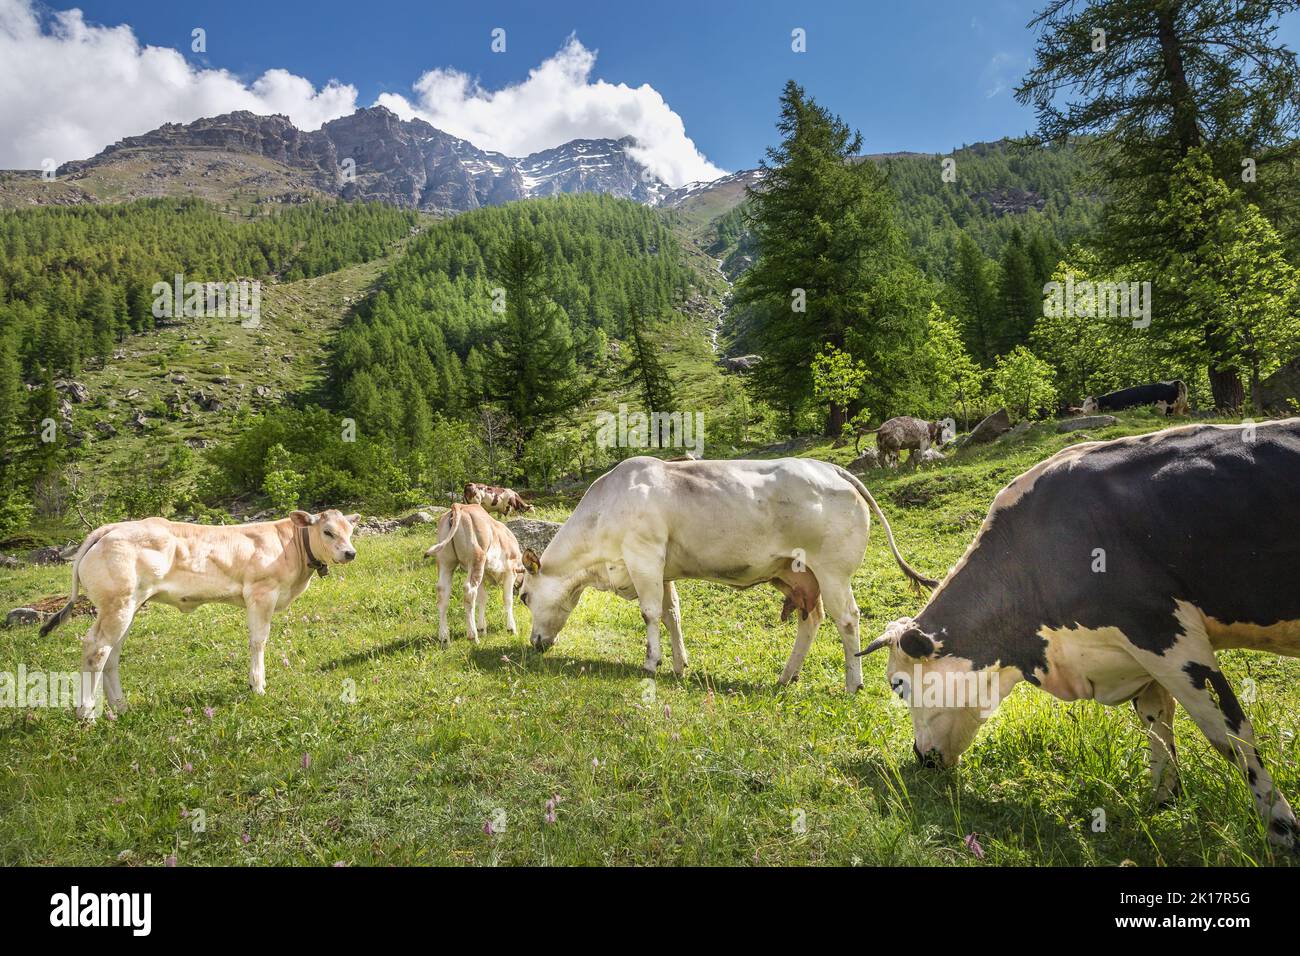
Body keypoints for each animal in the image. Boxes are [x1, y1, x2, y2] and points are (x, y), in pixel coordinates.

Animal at [39, 510, 360, 720]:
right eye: (328, 531)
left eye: (350, 531)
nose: (350, 553)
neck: (290, 547)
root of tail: (109, 529)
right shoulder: (261, 594)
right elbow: (258, 641)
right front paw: (257, 686)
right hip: (116, 603)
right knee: (96, 650)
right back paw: (87, 714)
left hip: (127, 606)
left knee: (112, 654)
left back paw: (120, 707)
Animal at [423, 503, 524, 645]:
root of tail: (459, 505)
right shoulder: (510, 570)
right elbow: (507, 599)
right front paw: (511, 628)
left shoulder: (483, 575)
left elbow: (482, 599)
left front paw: (482, 628)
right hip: (476, 559)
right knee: (469, 591)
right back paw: (472, 636)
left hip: (445, 562)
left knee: (443, 593)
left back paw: (444, 637)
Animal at [518, 456, 936, 692]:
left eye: (523, 595)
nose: (535, 641)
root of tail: (831, 468)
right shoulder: (662, 569)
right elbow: (671, 614)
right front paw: (679, 665)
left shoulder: (644, 557)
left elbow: (650, 613)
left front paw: (652, 664)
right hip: (803, 576)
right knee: (812, 619)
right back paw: (786, 676)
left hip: (833, 572)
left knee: (847, 619)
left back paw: (853, 683)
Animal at [860, 420, 1300, 849]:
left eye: (898, 685)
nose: (921, 757)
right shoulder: (1139, 654)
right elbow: (1157, 722)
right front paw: (1163, 800)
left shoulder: (1166, 635)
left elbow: (1231, 735)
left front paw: (1281, 829)